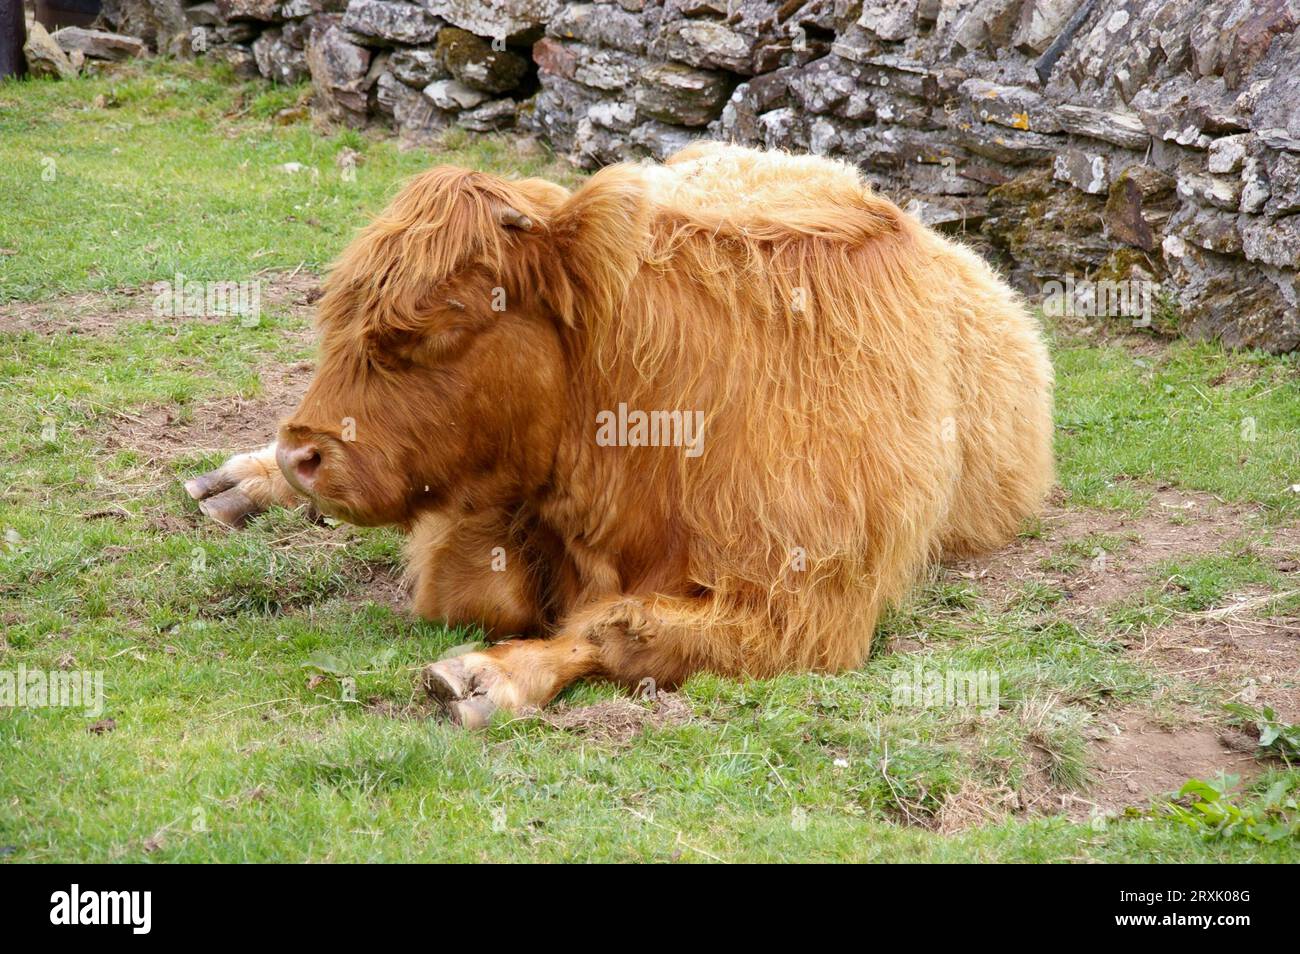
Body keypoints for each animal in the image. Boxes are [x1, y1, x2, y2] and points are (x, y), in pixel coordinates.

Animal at [186, 143, 1055, 727]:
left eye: (445, 318)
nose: (304, 454)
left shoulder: (809, 606)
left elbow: (621, 631)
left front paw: (487, 677)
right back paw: (236, 483)